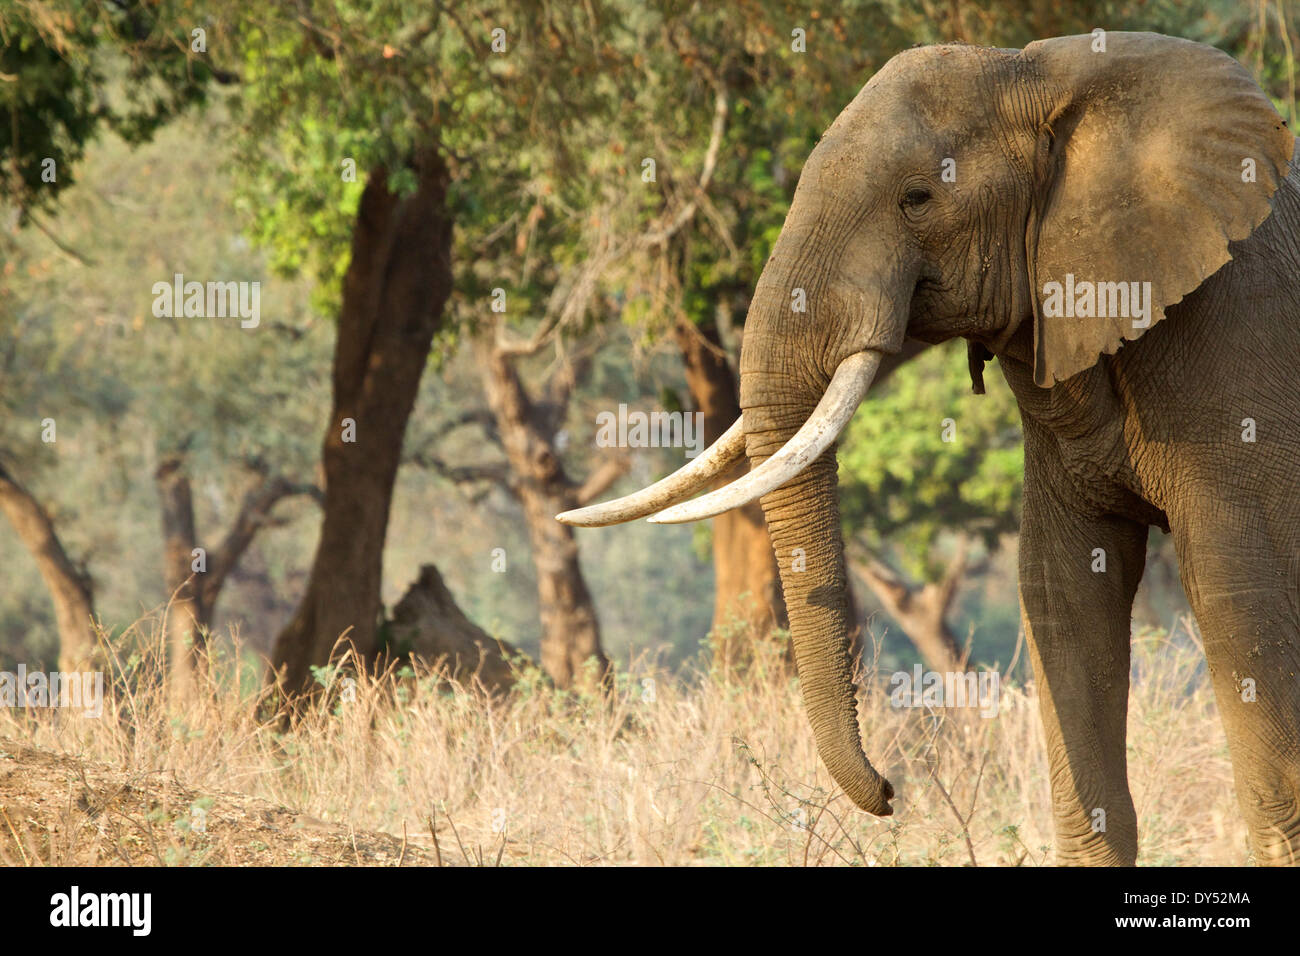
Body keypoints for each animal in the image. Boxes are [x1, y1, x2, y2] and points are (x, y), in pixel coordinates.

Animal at [558, 32, 1299, 866]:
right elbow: (1061, 593)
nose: (889, 791)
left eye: (917, 199)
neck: (1044, 73)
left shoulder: (1238, 343)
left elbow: (1240, 596)